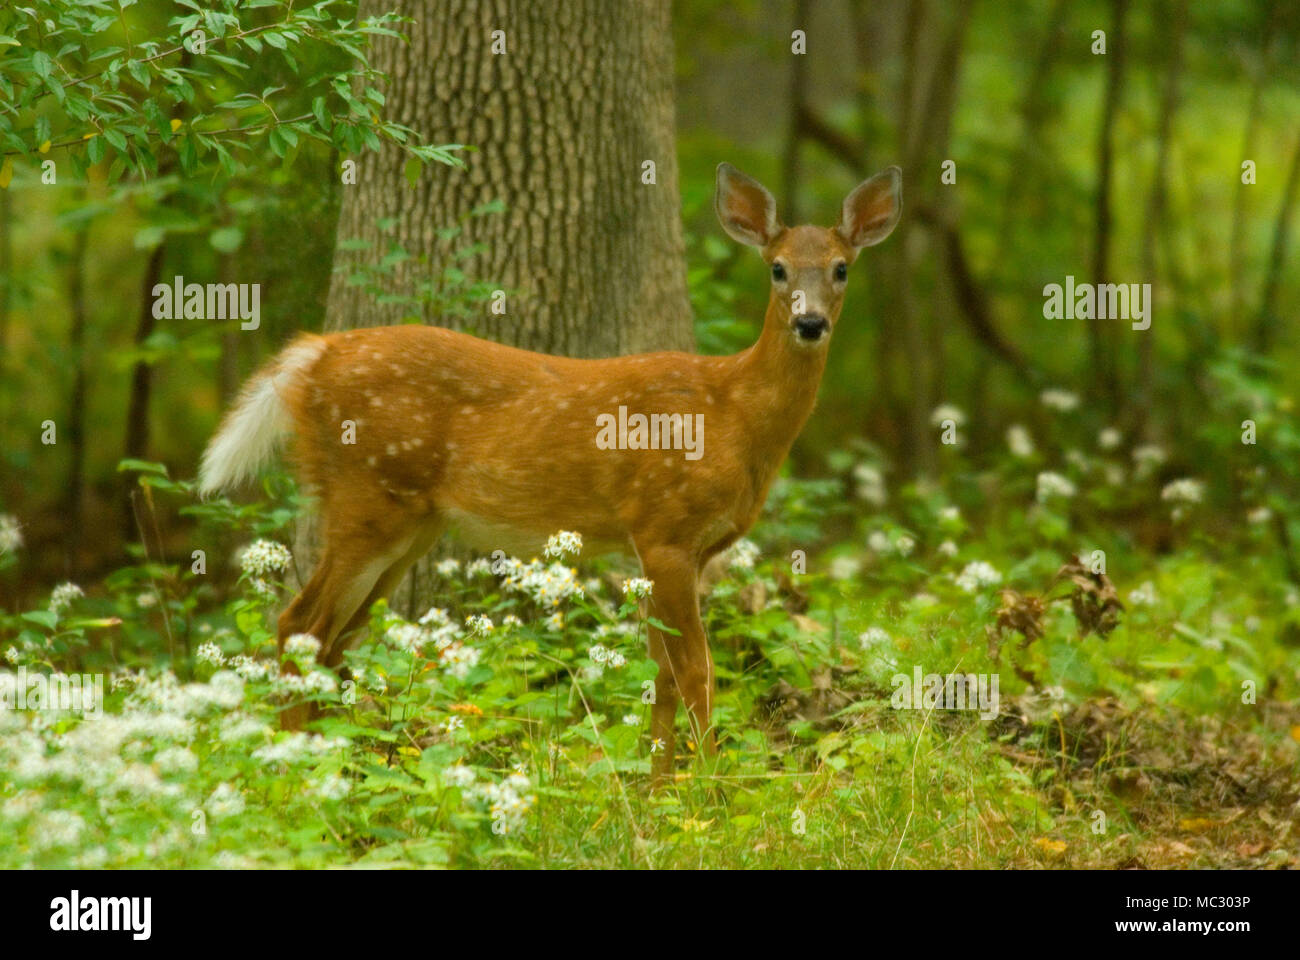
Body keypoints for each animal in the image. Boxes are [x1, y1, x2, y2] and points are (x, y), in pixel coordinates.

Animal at [198, 162, 901, 782]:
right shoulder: (665, 530)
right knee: (299, 624)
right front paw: (710, 785)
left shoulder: (674, 548)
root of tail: (311, 356)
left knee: (333, 637)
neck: (733, 412)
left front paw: (659, 791)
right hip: (367, 498)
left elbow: (660, 673)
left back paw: (337, 765)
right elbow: (695, 669)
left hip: (409, 526)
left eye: (840, 268)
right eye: (777, 269)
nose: (810, 322)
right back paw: (297, 770)